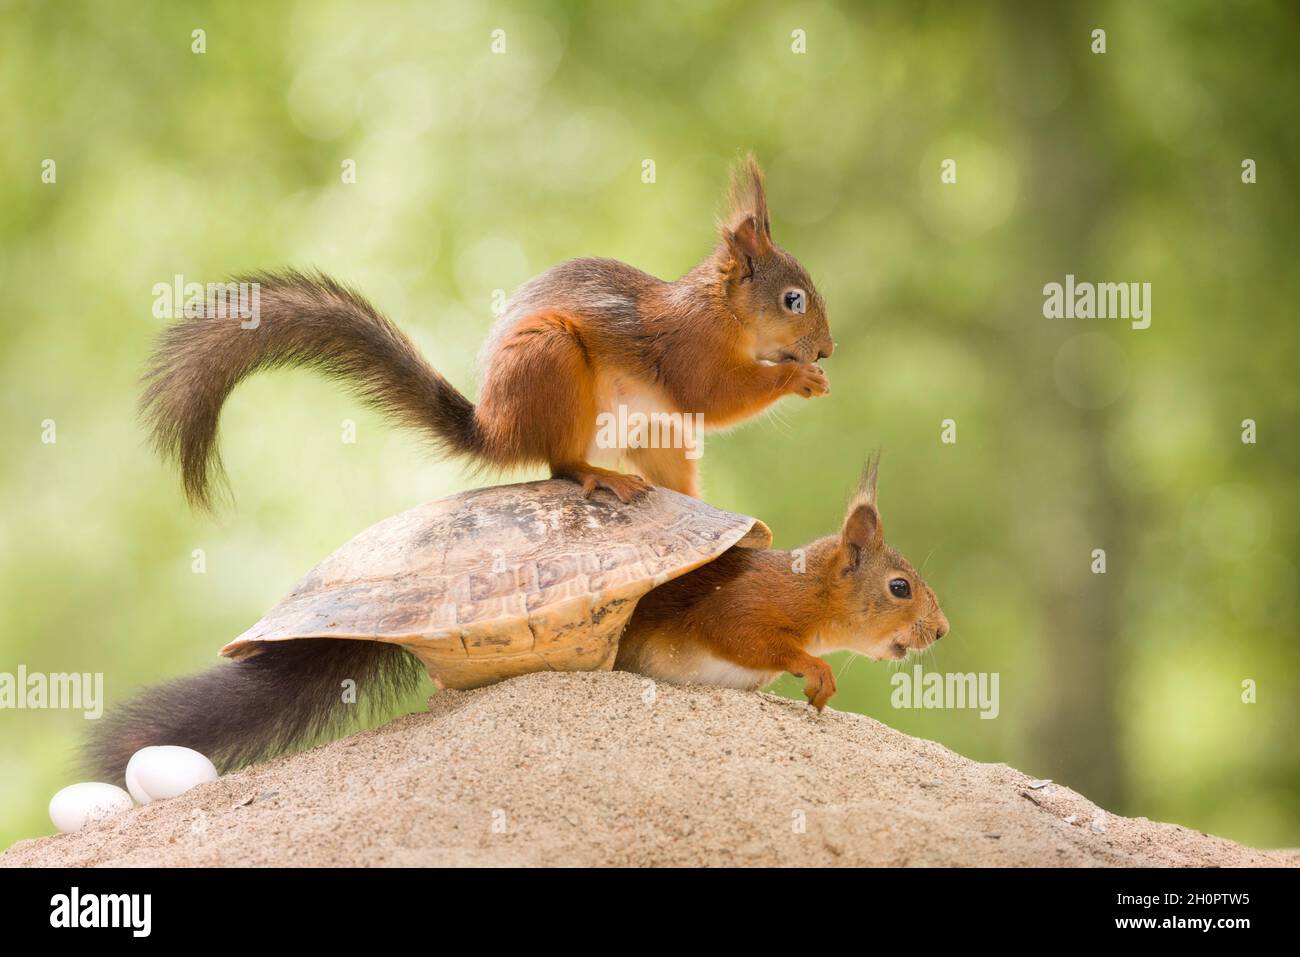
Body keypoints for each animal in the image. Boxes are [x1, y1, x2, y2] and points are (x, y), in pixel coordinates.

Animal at [84, 456, 948, 780]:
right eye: (900, 586)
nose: (940, 633)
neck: (802, 589)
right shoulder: (735, 607)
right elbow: (754, 639)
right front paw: (817, 672)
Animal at [144, 155, 833, 508]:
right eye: (793, 299)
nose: (827, 350)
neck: (724, 313)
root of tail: (499, 429)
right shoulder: (689, 348)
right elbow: (714, 396)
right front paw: (799, 378)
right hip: (552, 364)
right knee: (559, 464)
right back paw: (599, 475)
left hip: (655, 430)